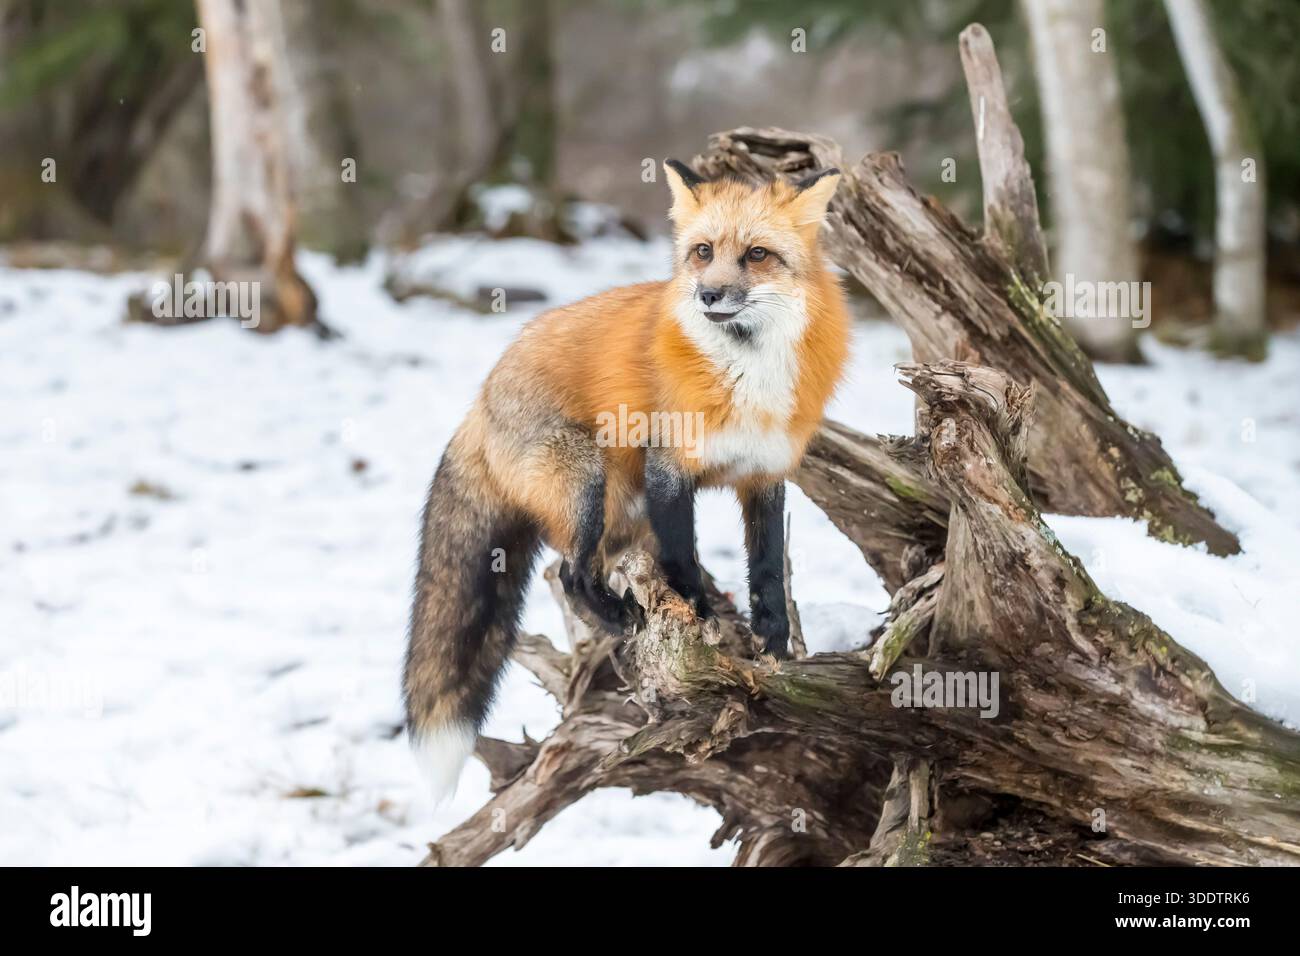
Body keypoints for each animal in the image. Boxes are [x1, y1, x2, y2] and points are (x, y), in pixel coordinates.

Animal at [403, 159, 851, 798]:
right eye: (703, 252)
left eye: (757, 254)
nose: (708, 293)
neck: (746, 374)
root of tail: (481, 398)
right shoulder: (667, 465)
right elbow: (682, 559)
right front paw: (703, 623)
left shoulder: (764, 472)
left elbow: (766, 566)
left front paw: (773, 641)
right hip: (589, 482)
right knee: (570, 574)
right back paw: (618, 617)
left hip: (619, 510)